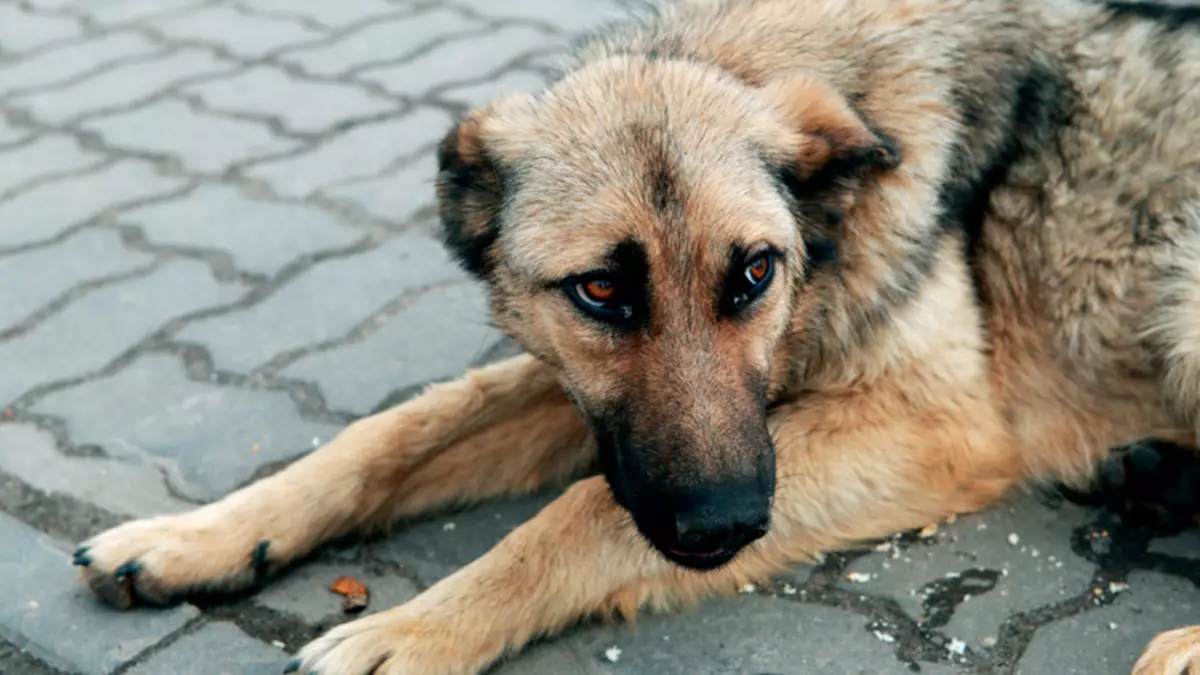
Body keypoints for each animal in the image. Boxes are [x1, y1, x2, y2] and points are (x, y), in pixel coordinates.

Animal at [70, 0, 1200, 667]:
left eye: (755, 274)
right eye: (602, 292)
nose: (724, 525)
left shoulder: (932, 423)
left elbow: (581, 516)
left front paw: (413, 627)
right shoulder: (588, 397)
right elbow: (390, 433)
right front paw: (202, 533)